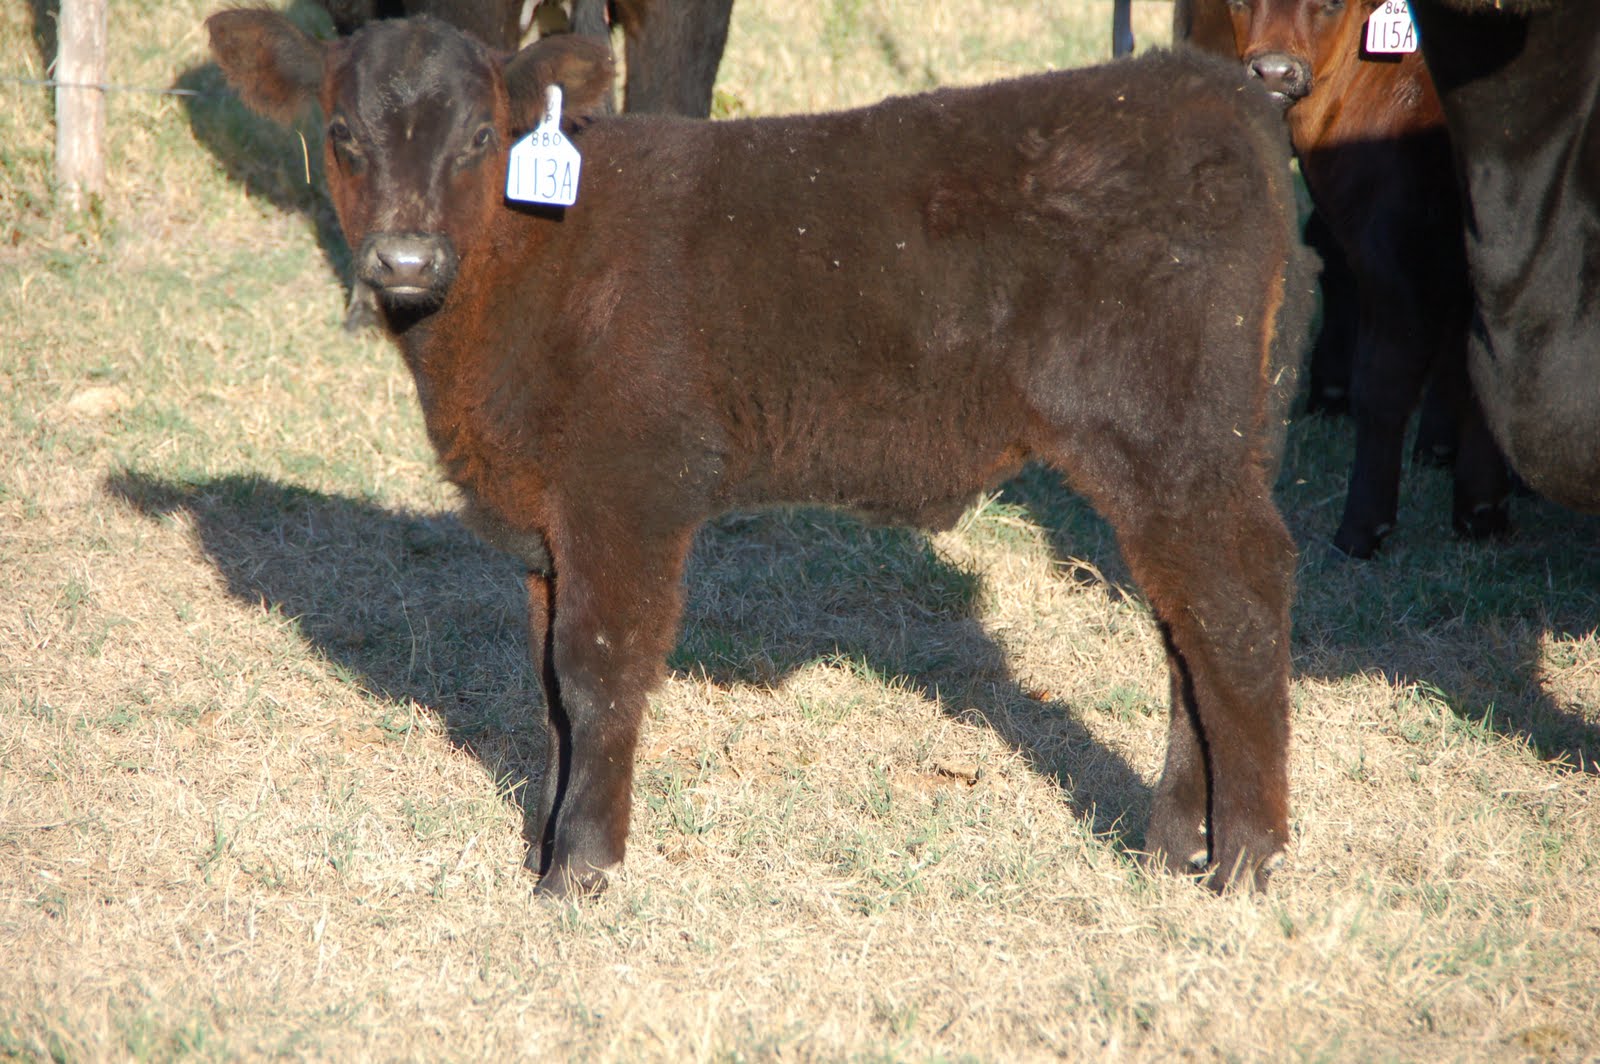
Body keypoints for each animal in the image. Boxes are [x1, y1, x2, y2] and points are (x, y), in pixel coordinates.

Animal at [204, 10, 1316, 896]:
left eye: (482, 136)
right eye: (342, 135)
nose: (404, 259)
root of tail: (1219, 88)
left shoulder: (629, 489)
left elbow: (596, 672)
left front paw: (580, 872)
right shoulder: (546, 520)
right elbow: (549, 691)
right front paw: (540, 849)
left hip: (1179, 442)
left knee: (1240, 612)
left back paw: (1246, 860)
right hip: (1183, 457)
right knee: (1184, 632)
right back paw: (1171, 846)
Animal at [1174, 0, 1511, 558]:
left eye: (1332, 5)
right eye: (1238, 2)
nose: (1274, 72)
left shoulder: (1393, 258)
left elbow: (1381, 382)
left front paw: (1362, 527)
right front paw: (1479, 507)